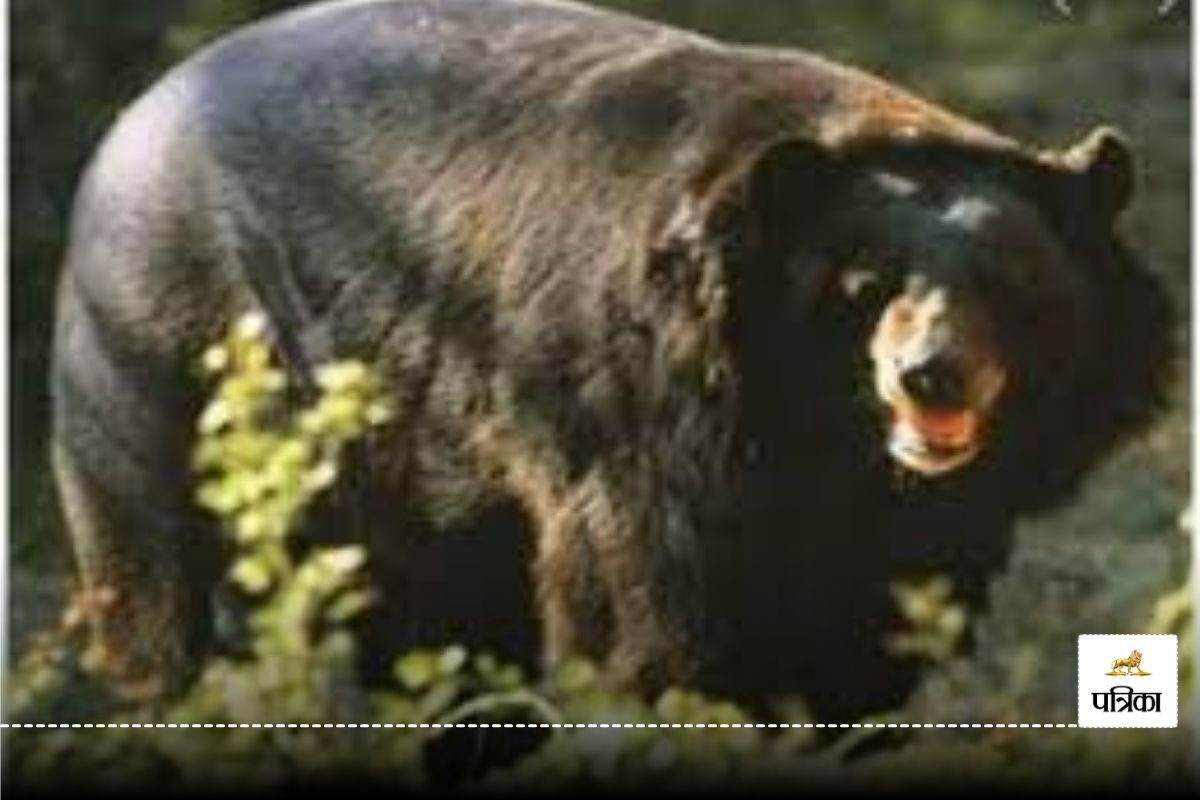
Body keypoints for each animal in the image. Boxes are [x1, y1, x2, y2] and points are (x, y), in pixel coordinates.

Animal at [50, 0, 1173, 717]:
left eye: (1014, 286)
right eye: (865, 287)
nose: (932, 374)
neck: (819, 434)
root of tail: (134, 115)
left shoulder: (924, 519)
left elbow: (872, 632)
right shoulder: (640, 427)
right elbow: (647, 615)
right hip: (153, 355)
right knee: (154, 579)